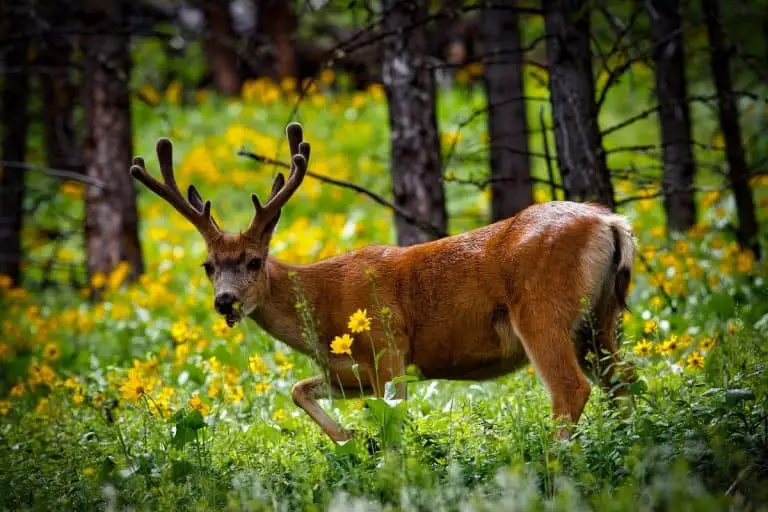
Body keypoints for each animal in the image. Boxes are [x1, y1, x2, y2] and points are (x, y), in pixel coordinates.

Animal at [130, 122, 637, 443]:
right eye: (208, 265)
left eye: (254, 261)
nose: (225, 301)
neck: (323, 306)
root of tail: (611, 222)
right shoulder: (350, 371)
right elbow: (297, 389)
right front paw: (350, 437)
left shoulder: (388, 346)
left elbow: (394, 424)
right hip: (601, 318)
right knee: (624, 381)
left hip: (541, 309)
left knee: (571, 389)